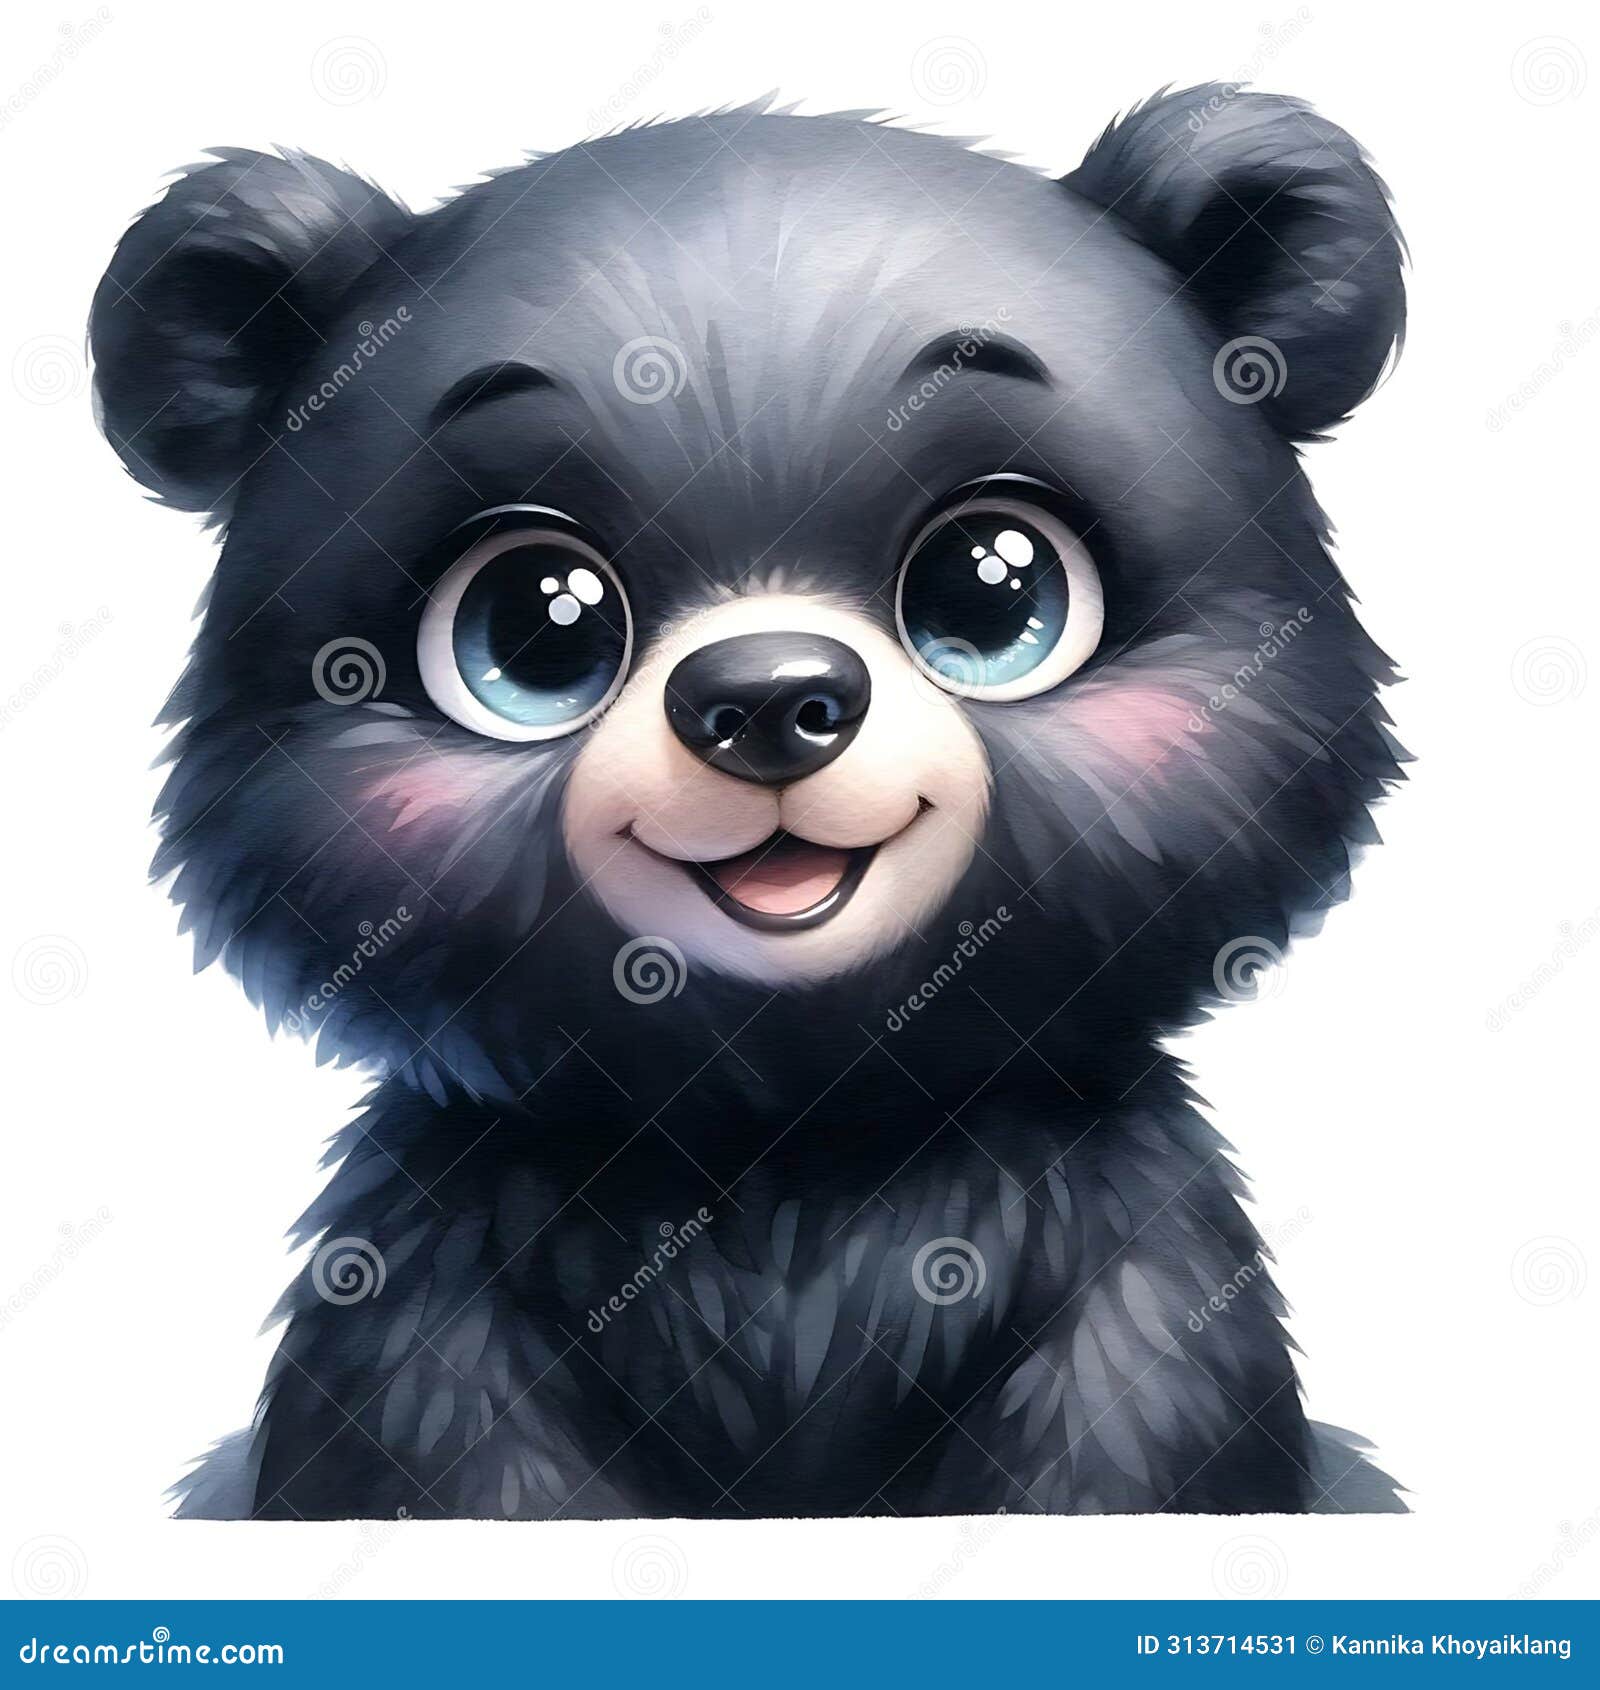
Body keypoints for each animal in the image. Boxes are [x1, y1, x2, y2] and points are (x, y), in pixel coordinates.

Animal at [89, 86, 1407, 1519]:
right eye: (537, 624)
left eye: (993, 585)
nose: (769, 698)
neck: (789, 1144)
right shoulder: (421, 1288)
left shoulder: (1140, 1273)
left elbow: (1135, 1435)